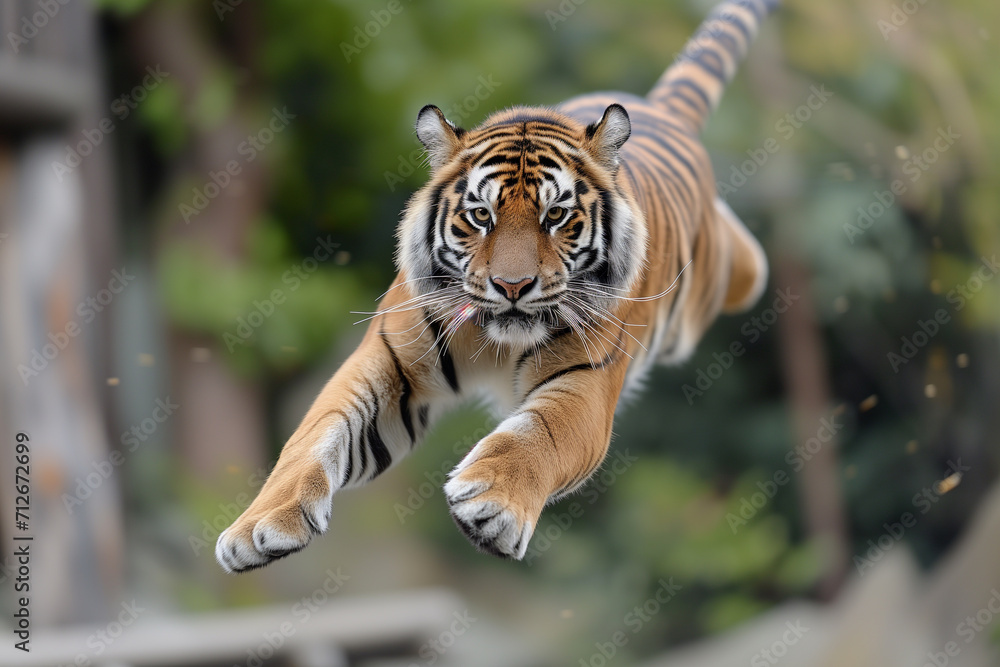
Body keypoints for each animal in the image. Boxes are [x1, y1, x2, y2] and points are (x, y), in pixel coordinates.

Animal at [216, 0, 777, 572]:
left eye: (556, 215)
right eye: (481, 216)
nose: (512, 285)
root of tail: (658, 109)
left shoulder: (585, 384)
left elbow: (541, 435)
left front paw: (494, 506)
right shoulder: (388, 364)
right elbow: (315, 432)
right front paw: (257, 527)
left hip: (724, 282)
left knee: (750, 264)